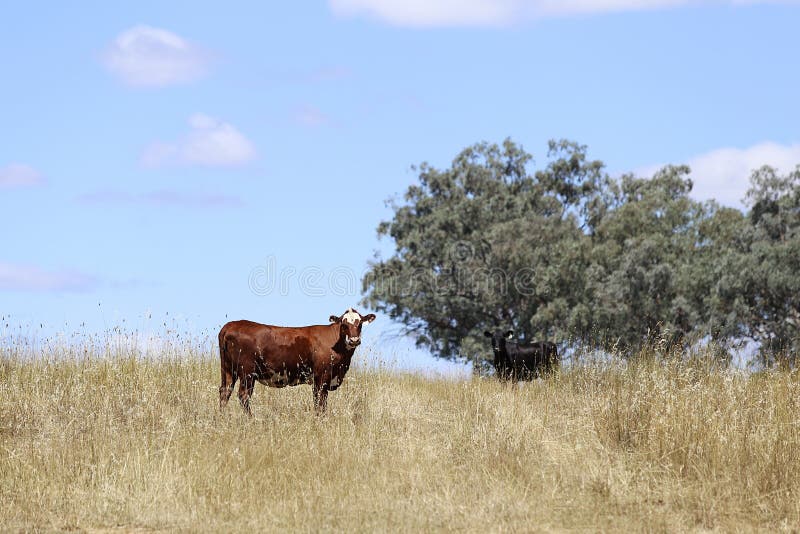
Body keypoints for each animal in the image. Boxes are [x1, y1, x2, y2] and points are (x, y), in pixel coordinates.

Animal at [218, 308, 376, 414]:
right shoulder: (321, 377)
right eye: (344, 325)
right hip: (247, 372)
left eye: (360, 324)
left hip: (227, 369)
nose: (354, 340)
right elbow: (319, 403)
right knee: (243, 395)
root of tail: (230, 325)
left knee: (225, 392)